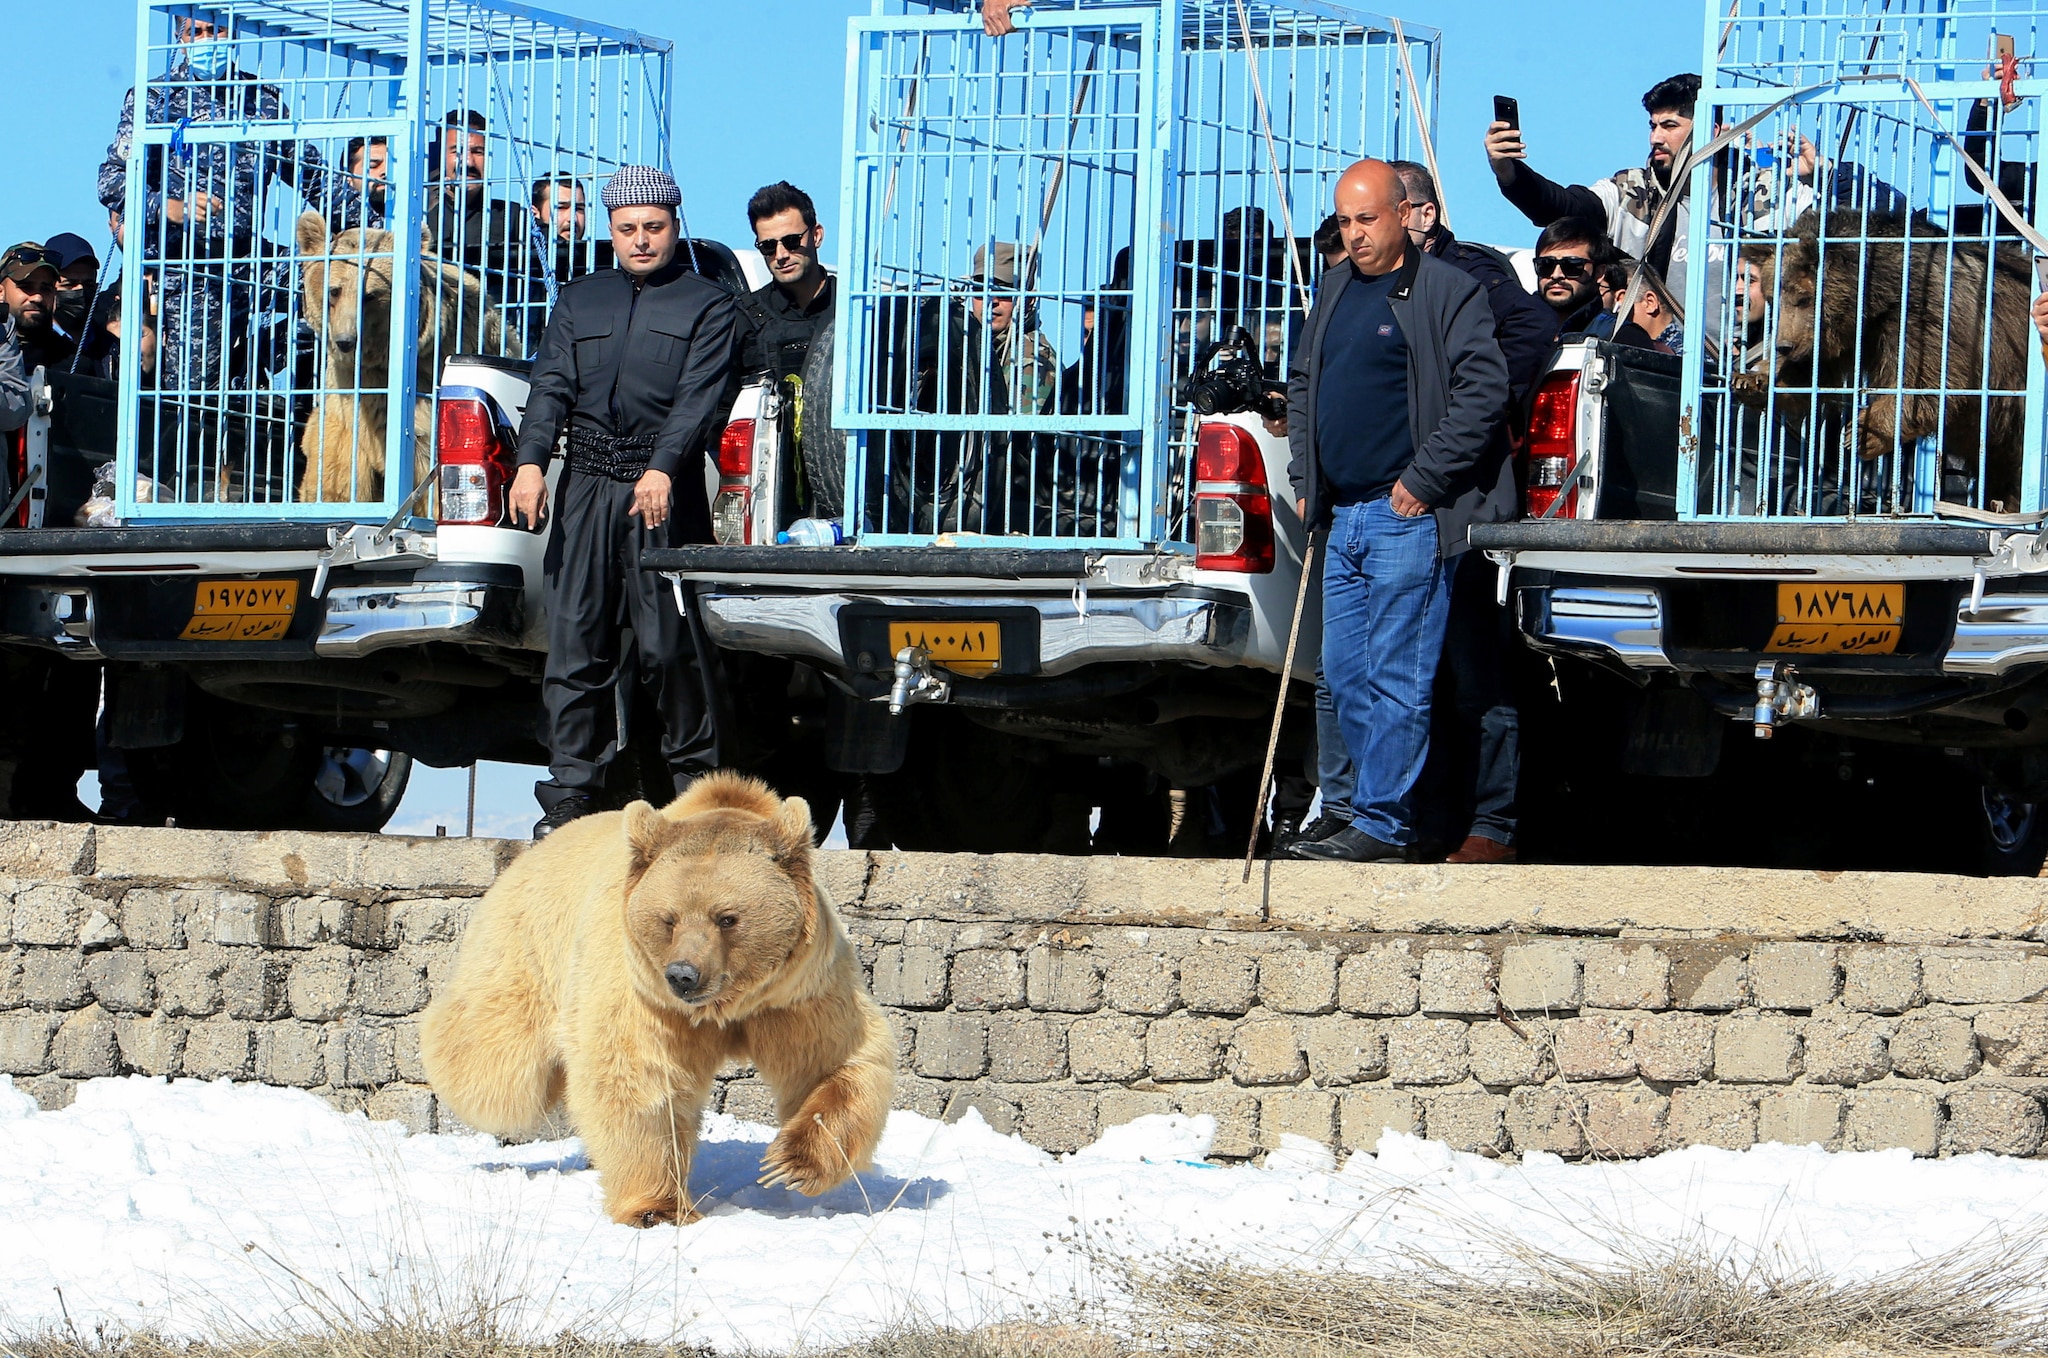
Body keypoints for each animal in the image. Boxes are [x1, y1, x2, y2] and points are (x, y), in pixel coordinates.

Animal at [419, 772, 896, 1227]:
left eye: (727, 917)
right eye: (668, 918)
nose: (684, 974)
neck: (728, 1006)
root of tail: (530, 853)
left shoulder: (797, 993)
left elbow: (834, 1062)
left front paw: (788, 1164)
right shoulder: (646, 996)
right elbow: (640, 1080)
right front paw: (657, 1208)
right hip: (527, 946)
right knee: (499, 1068)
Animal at [1736, 209, 2033, 510]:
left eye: (1804, 298)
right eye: (1773, 298)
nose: (1784, 345)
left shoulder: (1928, 314)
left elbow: (1931, 377)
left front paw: (1861, 433)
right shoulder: (1849, 336)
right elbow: (1811, 374)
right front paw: (1752, 381)